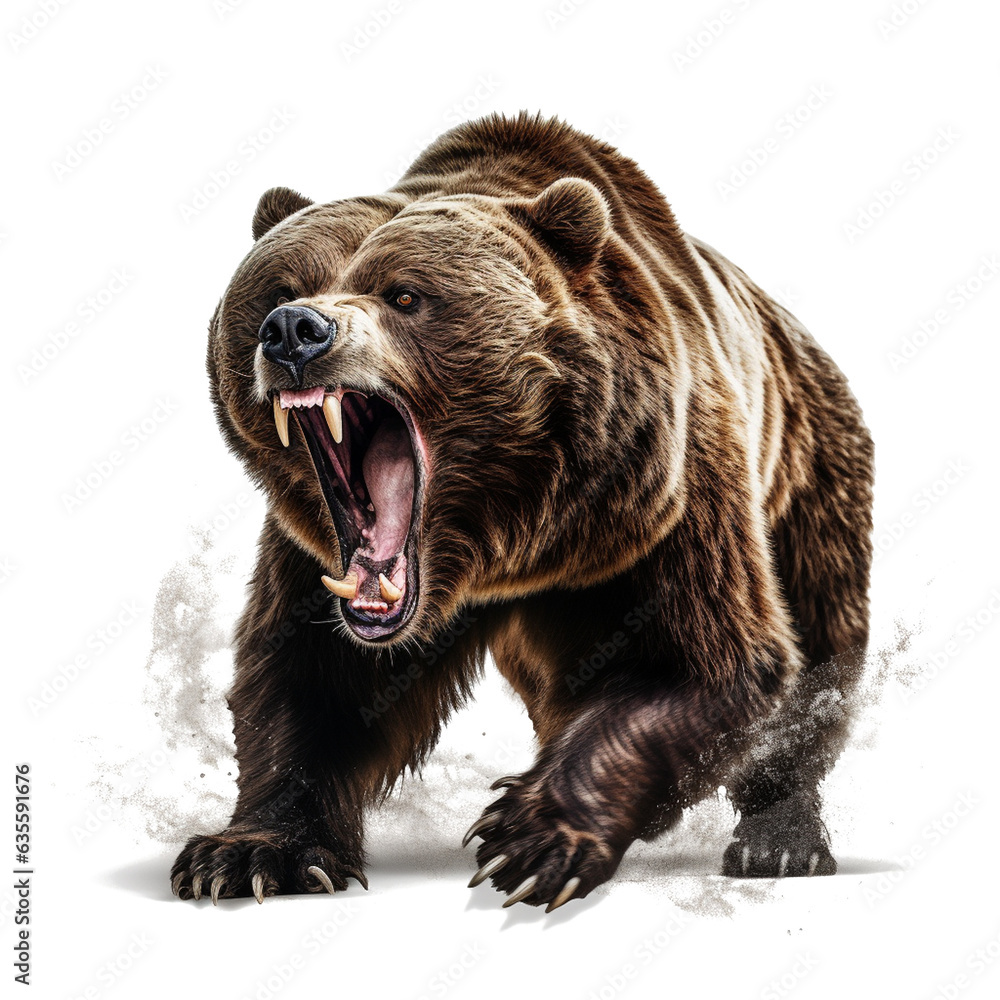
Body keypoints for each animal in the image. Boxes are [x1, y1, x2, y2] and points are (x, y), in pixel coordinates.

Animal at [171, 112, 873, 910]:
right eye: (282, 286)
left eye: (405, 295)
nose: (295, 330)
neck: (503, 534)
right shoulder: (318, 553)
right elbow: (309, 675)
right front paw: (250, 853)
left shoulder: (662, 500)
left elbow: (702, 660)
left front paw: (531, 836)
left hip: (811, 475)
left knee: (820, 656)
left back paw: (779, 840)